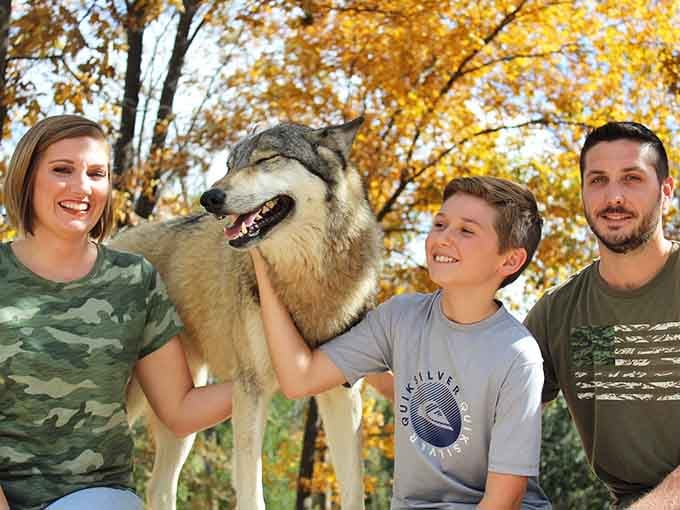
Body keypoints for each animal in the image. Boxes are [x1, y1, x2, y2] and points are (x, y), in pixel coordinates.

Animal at [111, 117, 382, 509]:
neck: (306, 280)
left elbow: (354, 491)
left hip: (183, 413)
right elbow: (252, 494)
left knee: (159, 488)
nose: (209, 198)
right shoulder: (250, 389)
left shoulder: (341, 392)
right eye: (229, 166)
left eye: (265, 159)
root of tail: (111, 241)